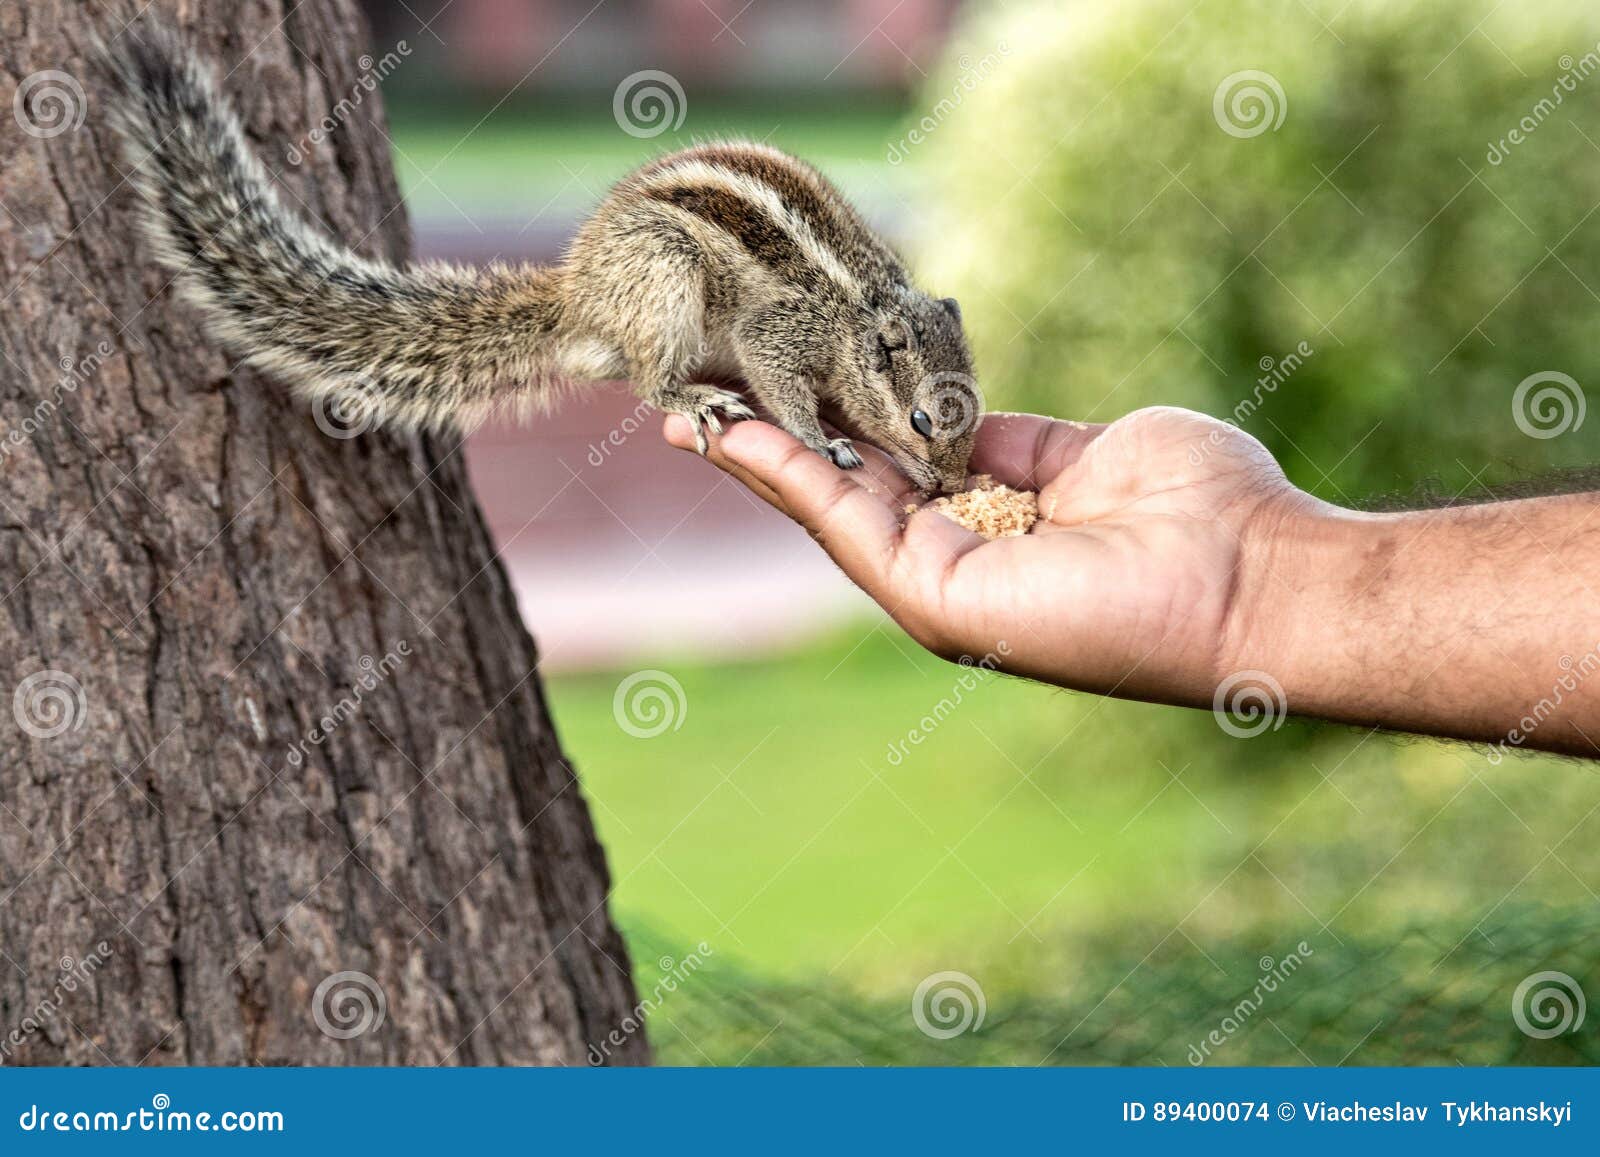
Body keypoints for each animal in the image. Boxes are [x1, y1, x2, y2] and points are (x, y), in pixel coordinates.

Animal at [100, 22, 982, 493]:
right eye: (920, 419)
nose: (951, 484)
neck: (863, 307)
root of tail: (576, 296)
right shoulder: (785, 330)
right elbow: (783, 383)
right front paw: (822, 439)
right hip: (664, 274)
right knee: (649, 379)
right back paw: (692, 395)